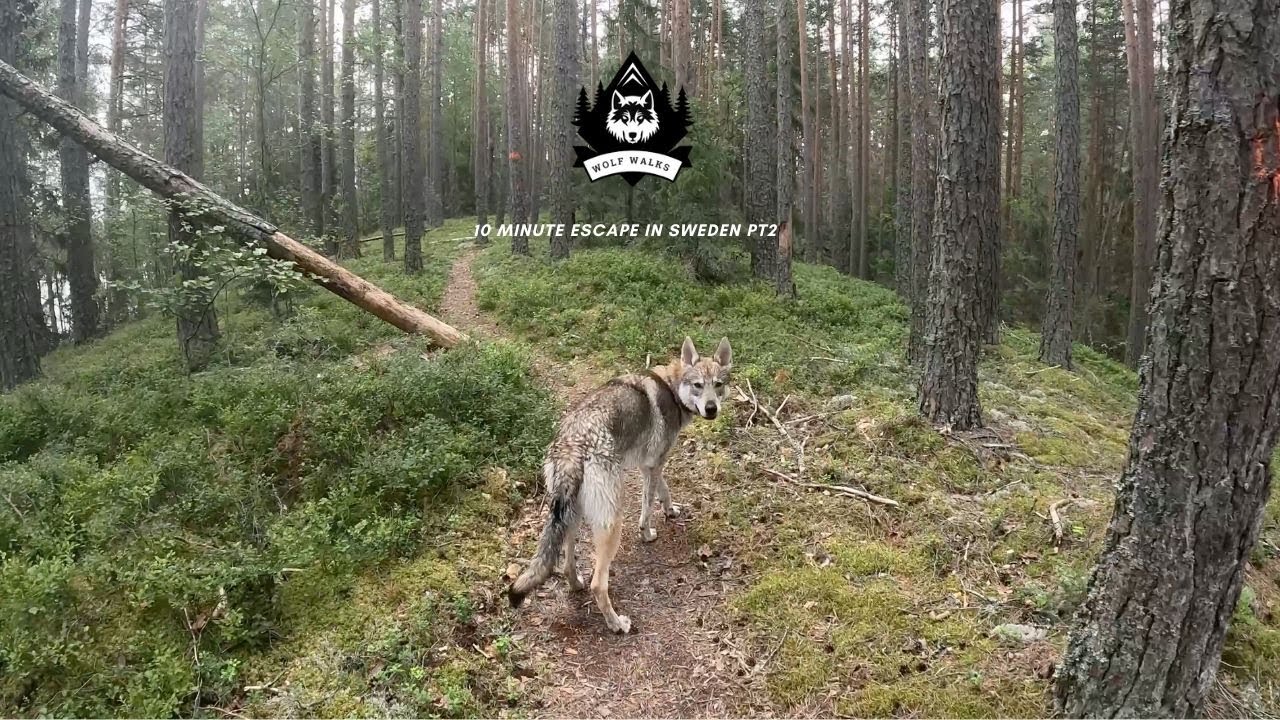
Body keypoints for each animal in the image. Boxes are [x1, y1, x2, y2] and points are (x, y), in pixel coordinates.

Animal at [507, 336, 733, 633]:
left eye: (717, 384)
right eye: (697, 385)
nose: (711, 409)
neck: (672, 389)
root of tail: (571, 446)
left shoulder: (650, 465)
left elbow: (664, 491)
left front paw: (670, 511)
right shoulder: (653, 465)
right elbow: (648, 505)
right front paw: (647, 533)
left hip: (572, 515)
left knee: (567, 564)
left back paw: (575, 584)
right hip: (612, 522)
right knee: (598, 584)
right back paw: (616, 623)